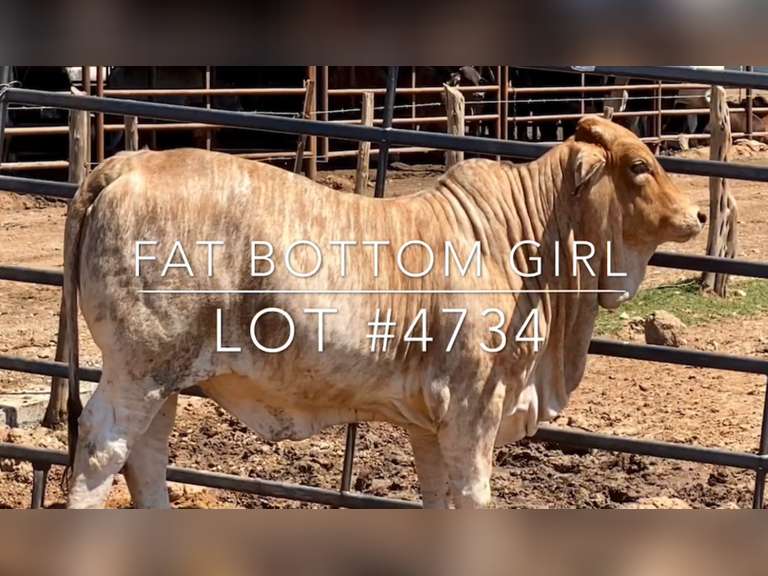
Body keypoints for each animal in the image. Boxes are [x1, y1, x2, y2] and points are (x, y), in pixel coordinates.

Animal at [63, 116, 705, 508]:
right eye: (639, 165)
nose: (697, 215)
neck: (523, 243)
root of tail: (125, 164)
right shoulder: (473, 406)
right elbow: (471, 495)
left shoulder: (429, 420)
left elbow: (437, 494)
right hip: (140, 369)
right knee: (102, 449)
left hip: (164, 377)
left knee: (146, 456)